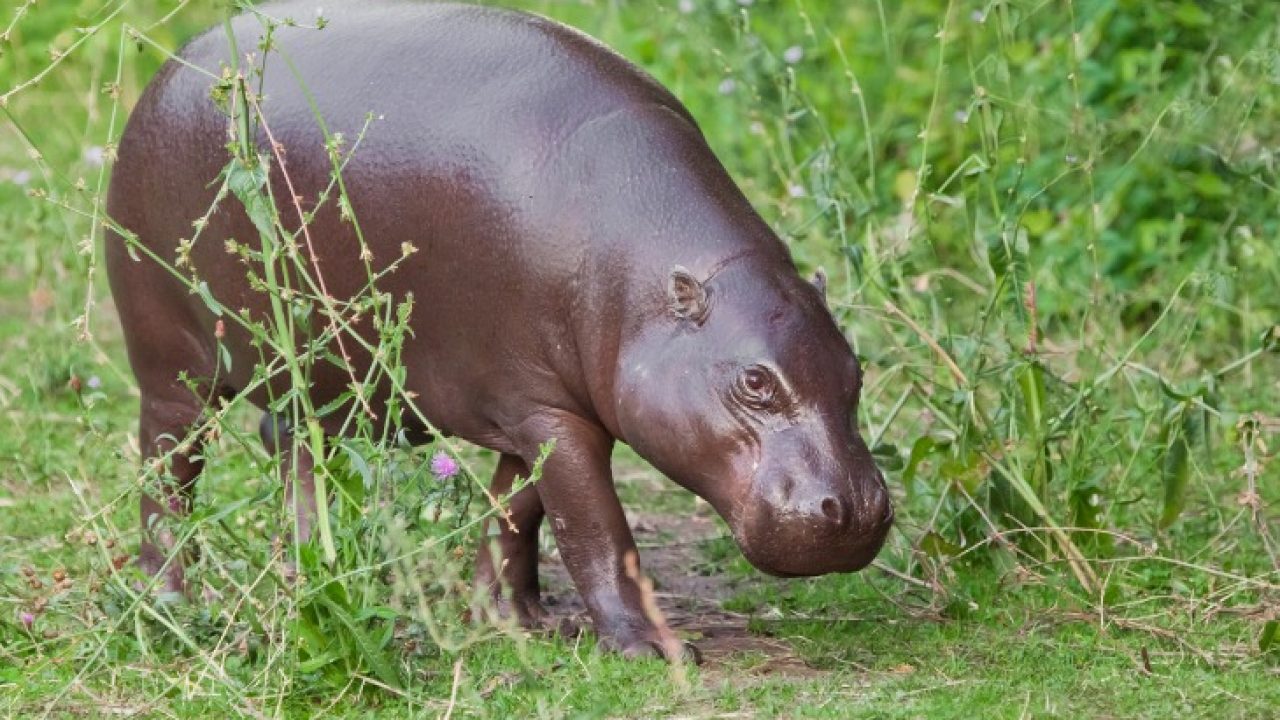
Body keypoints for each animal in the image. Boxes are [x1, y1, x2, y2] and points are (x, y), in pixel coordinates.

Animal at [105, 0, 893, 660]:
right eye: (754, 381)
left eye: (856, 371)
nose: (855, 510)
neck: (646, 279)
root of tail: (172, 68)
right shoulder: (550, 413)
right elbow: (597, 530)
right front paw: (654, 650)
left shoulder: (541, 405)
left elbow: (517, 514)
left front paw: (508, 620)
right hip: (171, 366)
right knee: (168, 474)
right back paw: (172, 605)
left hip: (318, 379)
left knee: (296, 453)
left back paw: (315, 572)